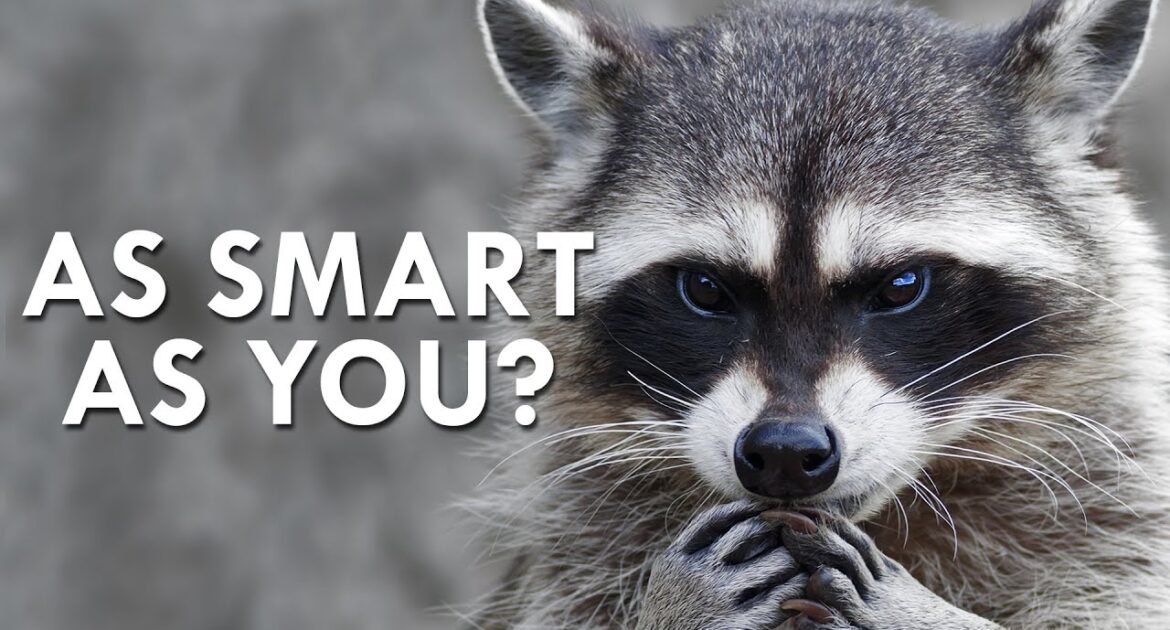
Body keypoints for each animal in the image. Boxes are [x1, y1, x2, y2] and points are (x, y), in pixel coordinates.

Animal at [470, 0, 1170, 628]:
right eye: (705, 289)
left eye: (900, 287)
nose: (784, 451)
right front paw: (675, 604)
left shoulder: (1116, 521)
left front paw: (921, 614)